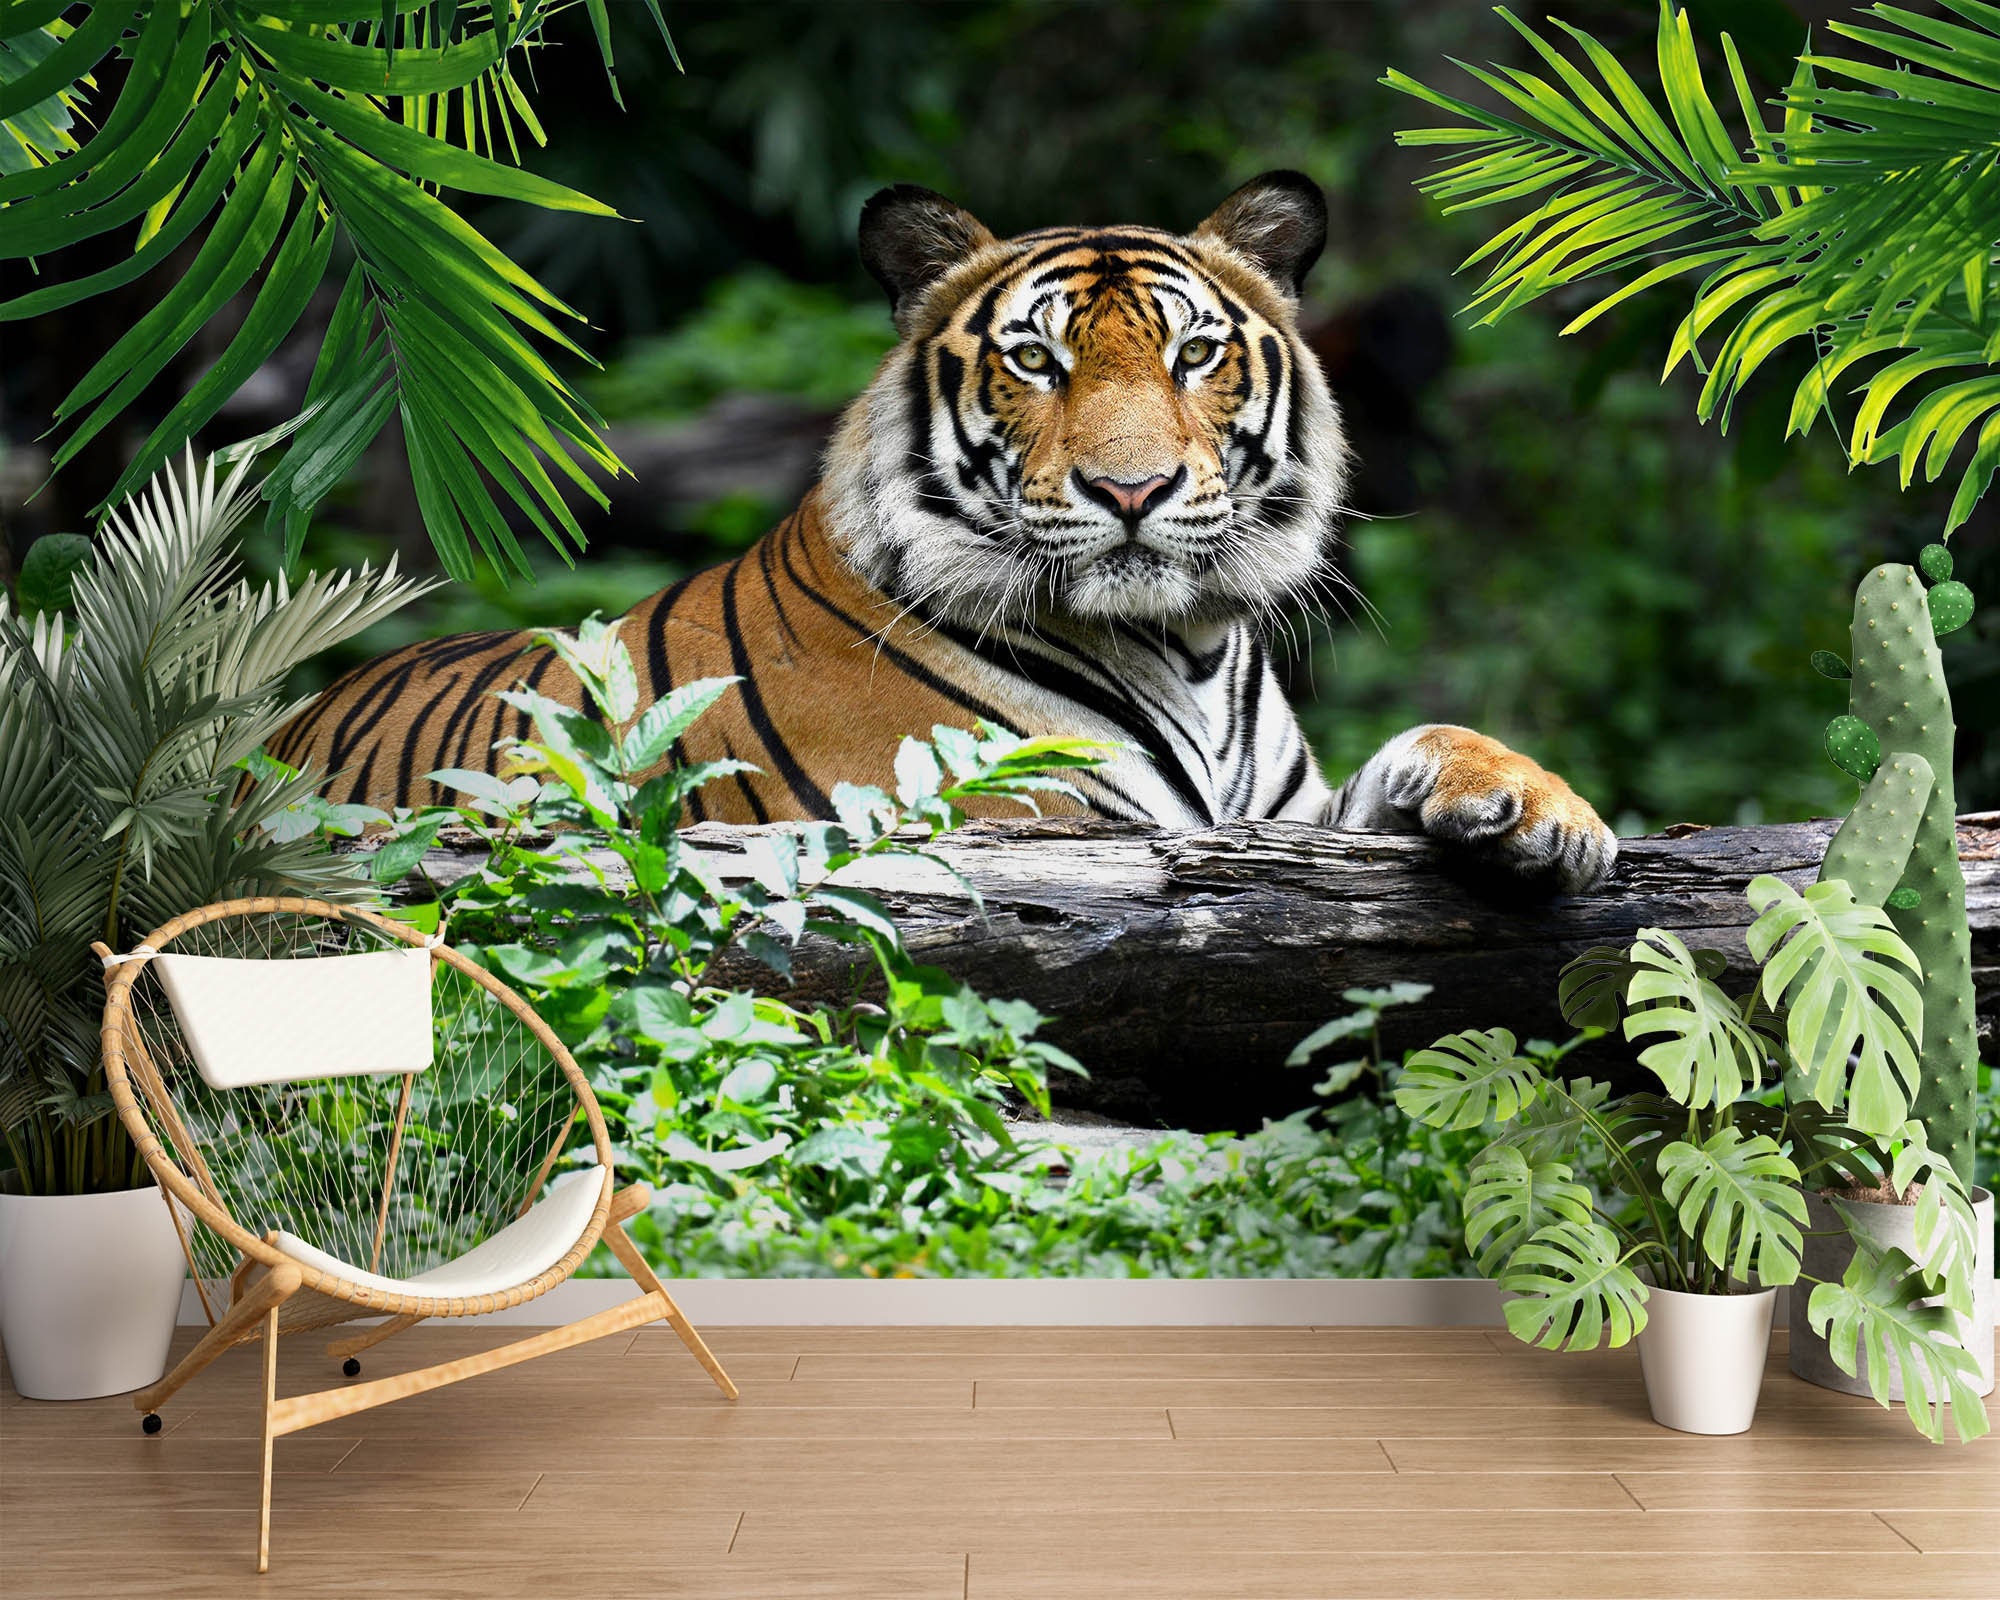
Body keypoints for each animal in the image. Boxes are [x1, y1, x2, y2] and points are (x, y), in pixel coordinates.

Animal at [272, 171, 1617, 891]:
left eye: (1193, 356)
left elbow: (1423, 743)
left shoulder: (1274, 826)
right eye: (1035, 360)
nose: (1130, 490)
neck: (1184, 647)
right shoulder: (1025, 827)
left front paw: (1540, 810)